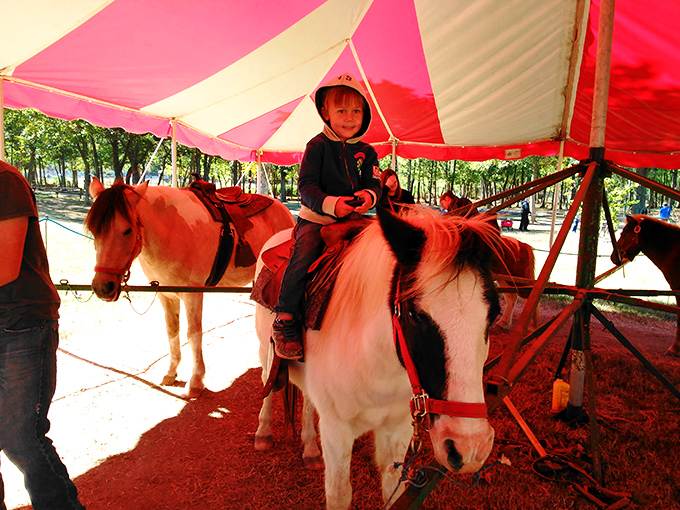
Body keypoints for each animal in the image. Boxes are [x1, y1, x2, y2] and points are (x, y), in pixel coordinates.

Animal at [85, 178, 295, 397]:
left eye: (127, 230)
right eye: (93, 230)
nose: (103, 287)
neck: (172, 230)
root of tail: (283, 210)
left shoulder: (193, 295)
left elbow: (193, 335)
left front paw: (195, 381)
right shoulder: (166, 295)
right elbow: (172, 330)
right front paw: (171, 371)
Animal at [254, 207, 501, 509]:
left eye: (494, 313)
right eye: (414, 314)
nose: (470, 445)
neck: (377, 363)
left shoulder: (398, 428)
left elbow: (393, 488)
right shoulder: (336, 430)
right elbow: (339, 493)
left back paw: (310, 448)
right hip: (265, 352)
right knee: (268, 383)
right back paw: (263, 433)